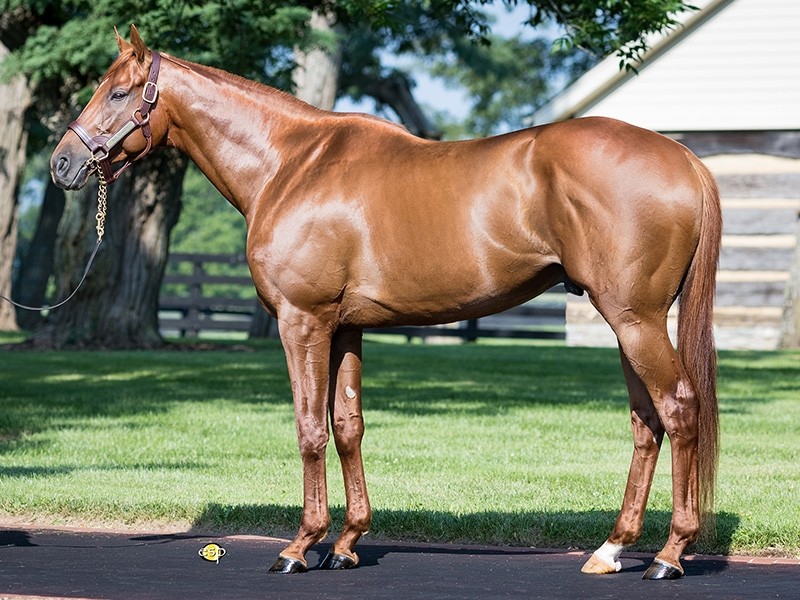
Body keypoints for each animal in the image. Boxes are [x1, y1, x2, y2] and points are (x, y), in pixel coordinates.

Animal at [51, 25, 721, 580]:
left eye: (118, 93)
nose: (62, 163)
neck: (289, 165)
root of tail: (682, 156)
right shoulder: (346, 329)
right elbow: (348, 427)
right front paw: (347, 544)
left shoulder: (303, 323)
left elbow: (309, 429)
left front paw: (300, 546)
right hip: (629, 323)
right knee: (646, 422)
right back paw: (612, 549)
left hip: (634, 320)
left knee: (678, 409)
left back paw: (668, 555)